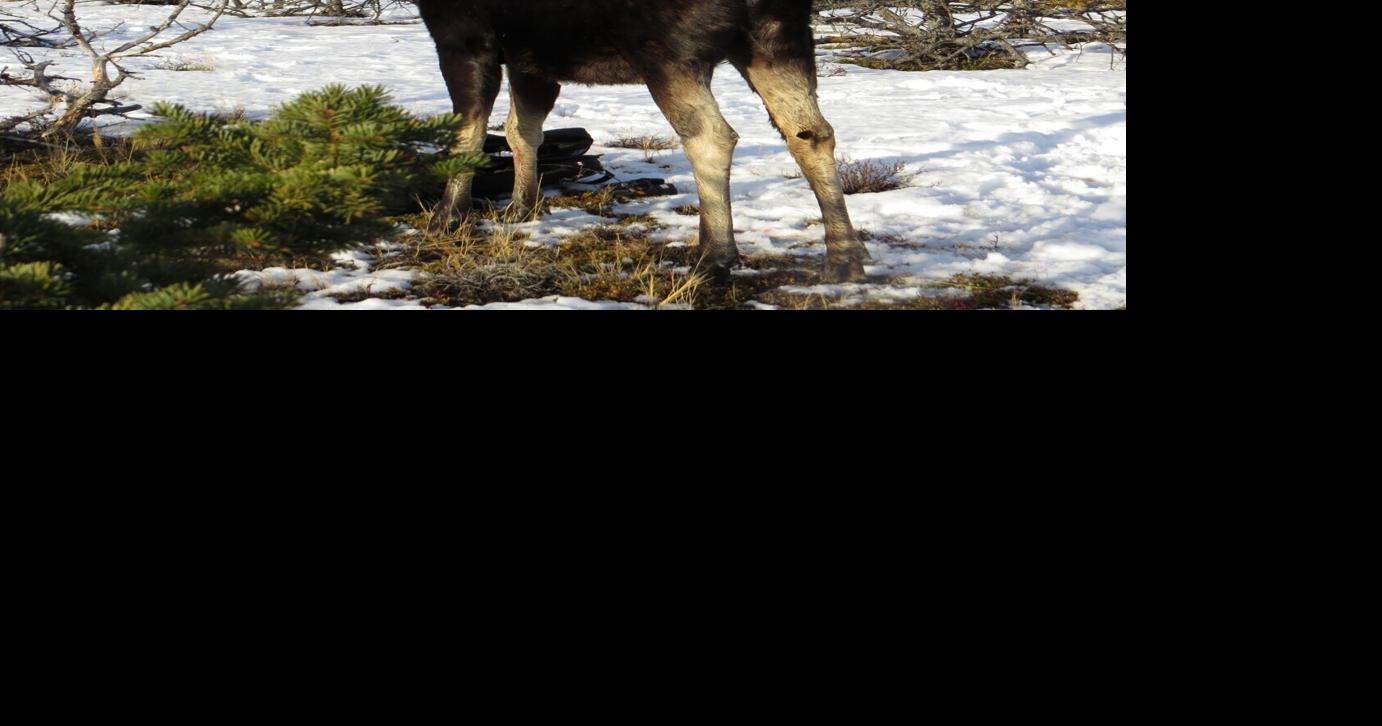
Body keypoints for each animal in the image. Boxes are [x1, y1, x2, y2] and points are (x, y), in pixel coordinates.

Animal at [415, 0, 871, 283]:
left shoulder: (465, 37)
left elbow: (468, 136)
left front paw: (447, 218)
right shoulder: (532, 57)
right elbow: (522, 130)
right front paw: (521, 207)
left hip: (667, 52)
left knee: (712, 136)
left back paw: (715, 255)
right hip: (776, 42)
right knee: (811, 133)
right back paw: (845, 256)